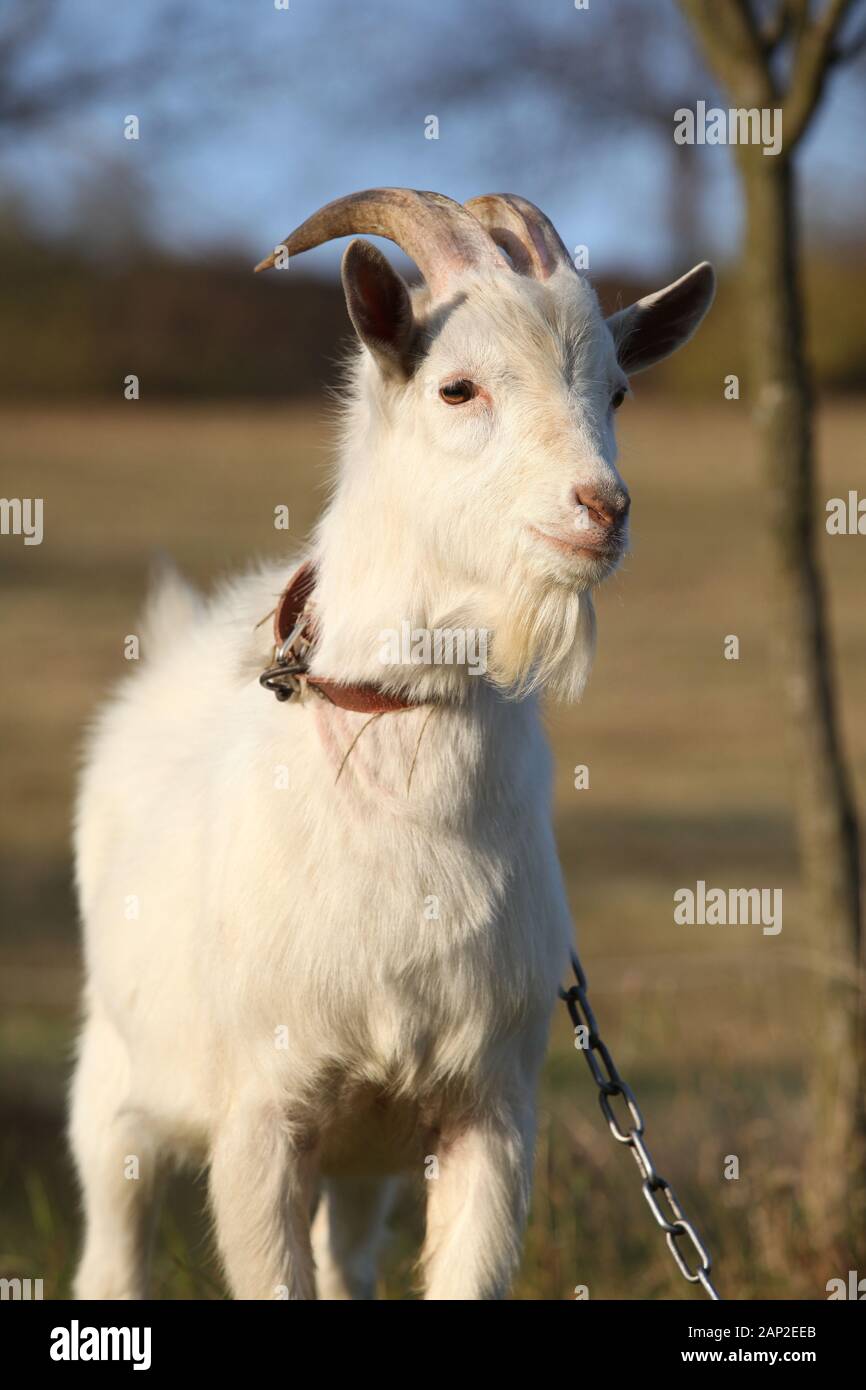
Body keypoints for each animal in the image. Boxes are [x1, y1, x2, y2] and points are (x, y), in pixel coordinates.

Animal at [70, 189, 714, 1300]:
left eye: (619, 391)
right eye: (458, 387)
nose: (602, 509)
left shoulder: (485, 1110)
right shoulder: (262, 1119)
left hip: (361, 1160)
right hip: (112, 1093)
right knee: (109, 1252)